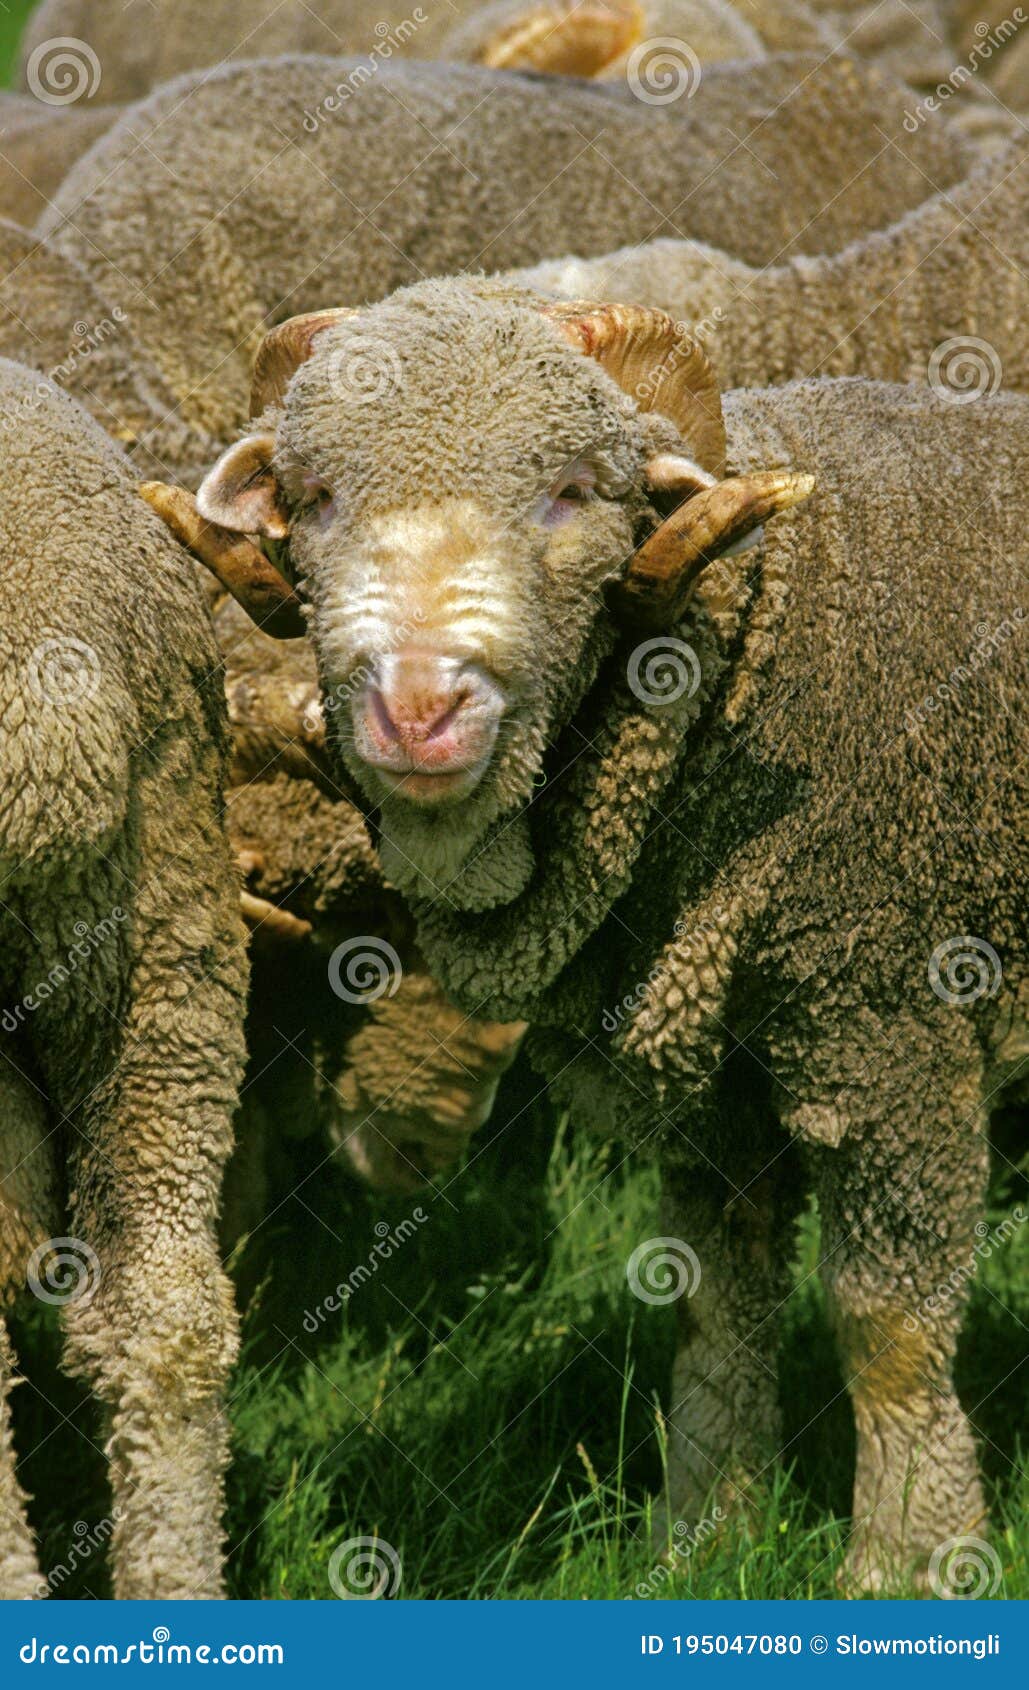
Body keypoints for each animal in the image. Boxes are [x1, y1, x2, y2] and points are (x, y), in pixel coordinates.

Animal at [187, 283, 1026, 1587]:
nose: (417, 710)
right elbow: (712, 1308)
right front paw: (703, 1541)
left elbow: (887, 1325)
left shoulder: (892, 1024)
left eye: (577, 491)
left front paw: (907, 1564)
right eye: (314, 498)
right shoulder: (715, 1082)